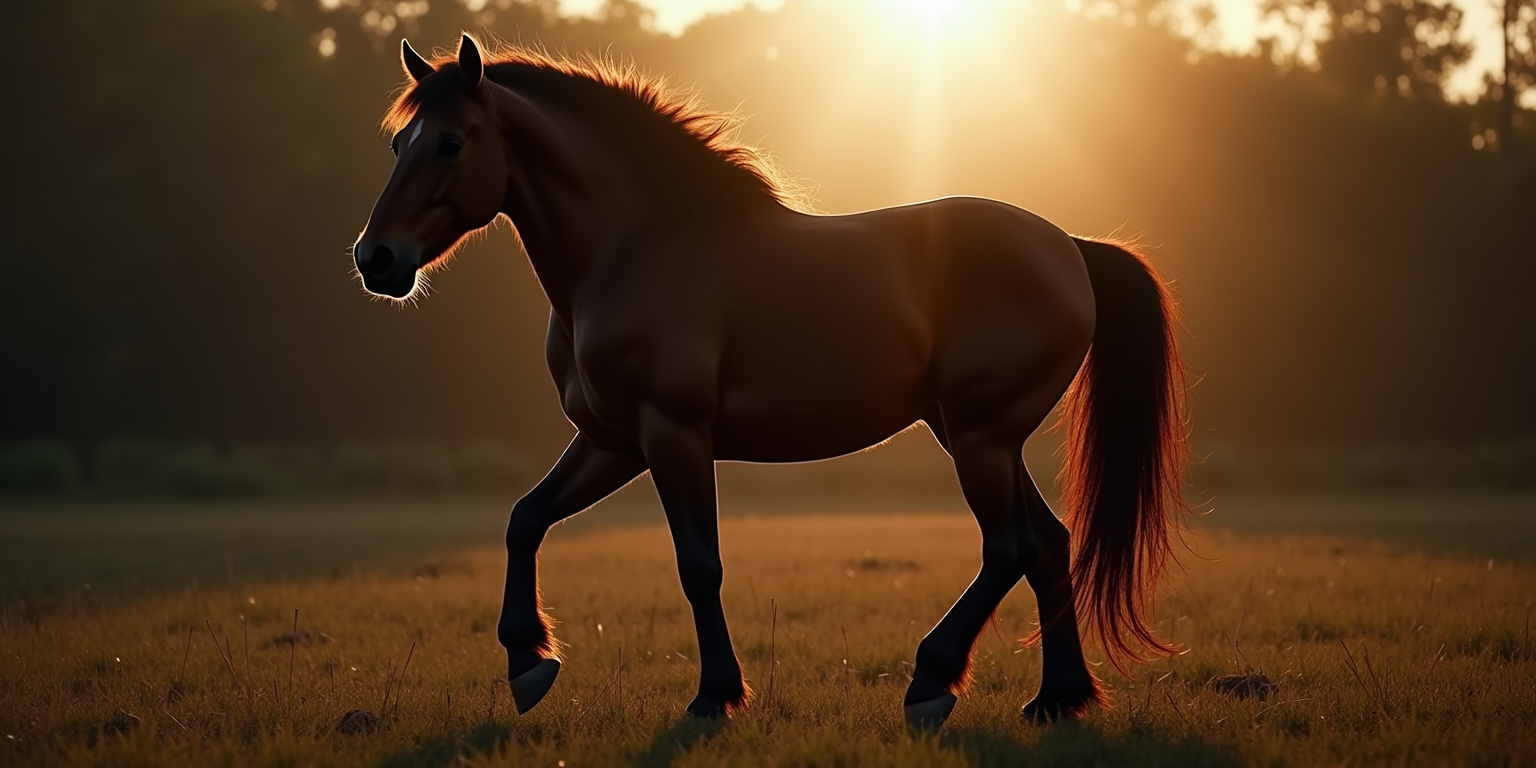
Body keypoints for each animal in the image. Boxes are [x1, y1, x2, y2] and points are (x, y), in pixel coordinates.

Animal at [353, 33, 1189, 729]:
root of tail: (1071, 248)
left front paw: (714, 694)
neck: (634, 251)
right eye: (398, 142)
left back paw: (932, 681)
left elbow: (699, 565)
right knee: (1048, 544)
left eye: (451, 142)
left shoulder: (673, 433)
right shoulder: (611, 440)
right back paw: (1057, 699)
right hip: (976, 435)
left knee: (1010, 547)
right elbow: (524, 518)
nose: (376, 258)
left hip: (982, 435)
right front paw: (529, 661)